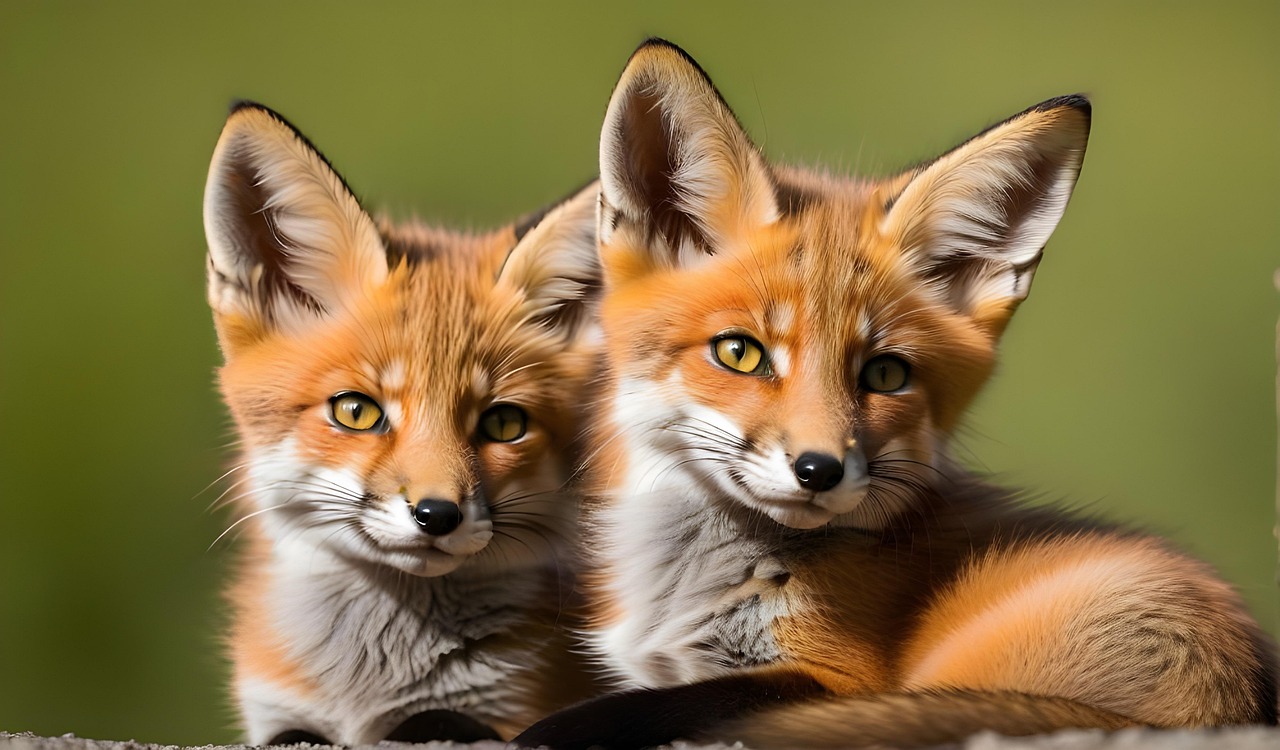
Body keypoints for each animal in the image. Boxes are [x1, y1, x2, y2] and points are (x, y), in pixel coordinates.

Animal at [202, 102, 602, 744]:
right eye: (356, 411)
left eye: (504, 424)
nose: (437, 515)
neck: (368, 689)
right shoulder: (280, 716)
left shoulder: (504, 715)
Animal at [514, 39, 1278, 749]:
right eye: (739, 353)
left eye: (884, 374)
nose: (819, 471)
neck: (691, 585)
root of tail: (1236, 687)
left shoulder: (831, 676)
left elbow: (656, 705)